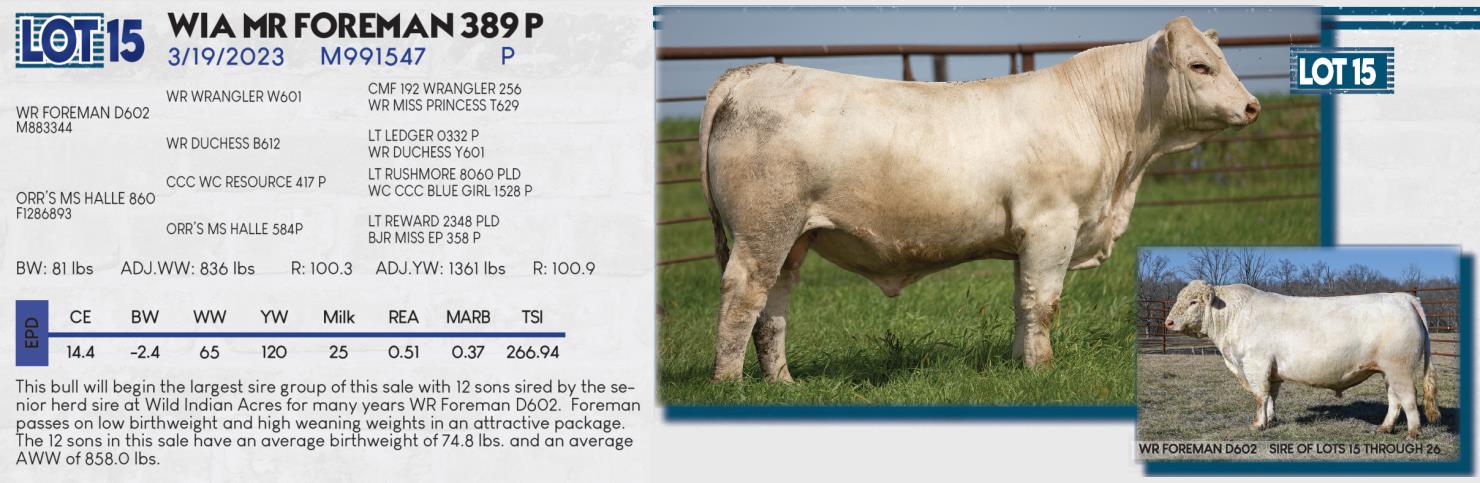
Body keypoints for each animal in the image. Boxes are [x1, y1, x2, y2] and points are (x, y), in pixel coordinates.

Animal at [699, 17, 1261, 383]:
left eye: (1223, 60)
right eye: (1199, 66)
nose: (1252, 106)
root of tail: (750, 73)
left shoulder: (1027, 241)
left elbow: (1022, 301)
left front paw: (1021, 365)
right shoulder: (1051, 227)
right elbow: (1044, 303)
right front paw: (1042, 369)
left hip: (792, 237)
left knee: (773, 306)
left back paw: (782, 382)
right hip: (763, 230)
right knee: (742, 296)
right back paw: (730, 383)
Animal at [1163, 280, 1441, 438]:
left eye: (1193, 301)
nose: (1168, 322)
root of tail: (1403, 297)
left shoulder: (1255, 364)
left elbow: (1259, 396)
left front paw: (1258, 424)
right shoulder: (1271, 369)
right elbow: (1271, 396)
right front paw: (1272, 420)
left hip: (1400, 367)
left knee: (1409, 399)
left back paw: (1413, 432)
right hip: (1388, 371)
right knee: (1395, 400)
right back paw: (1384, 428)